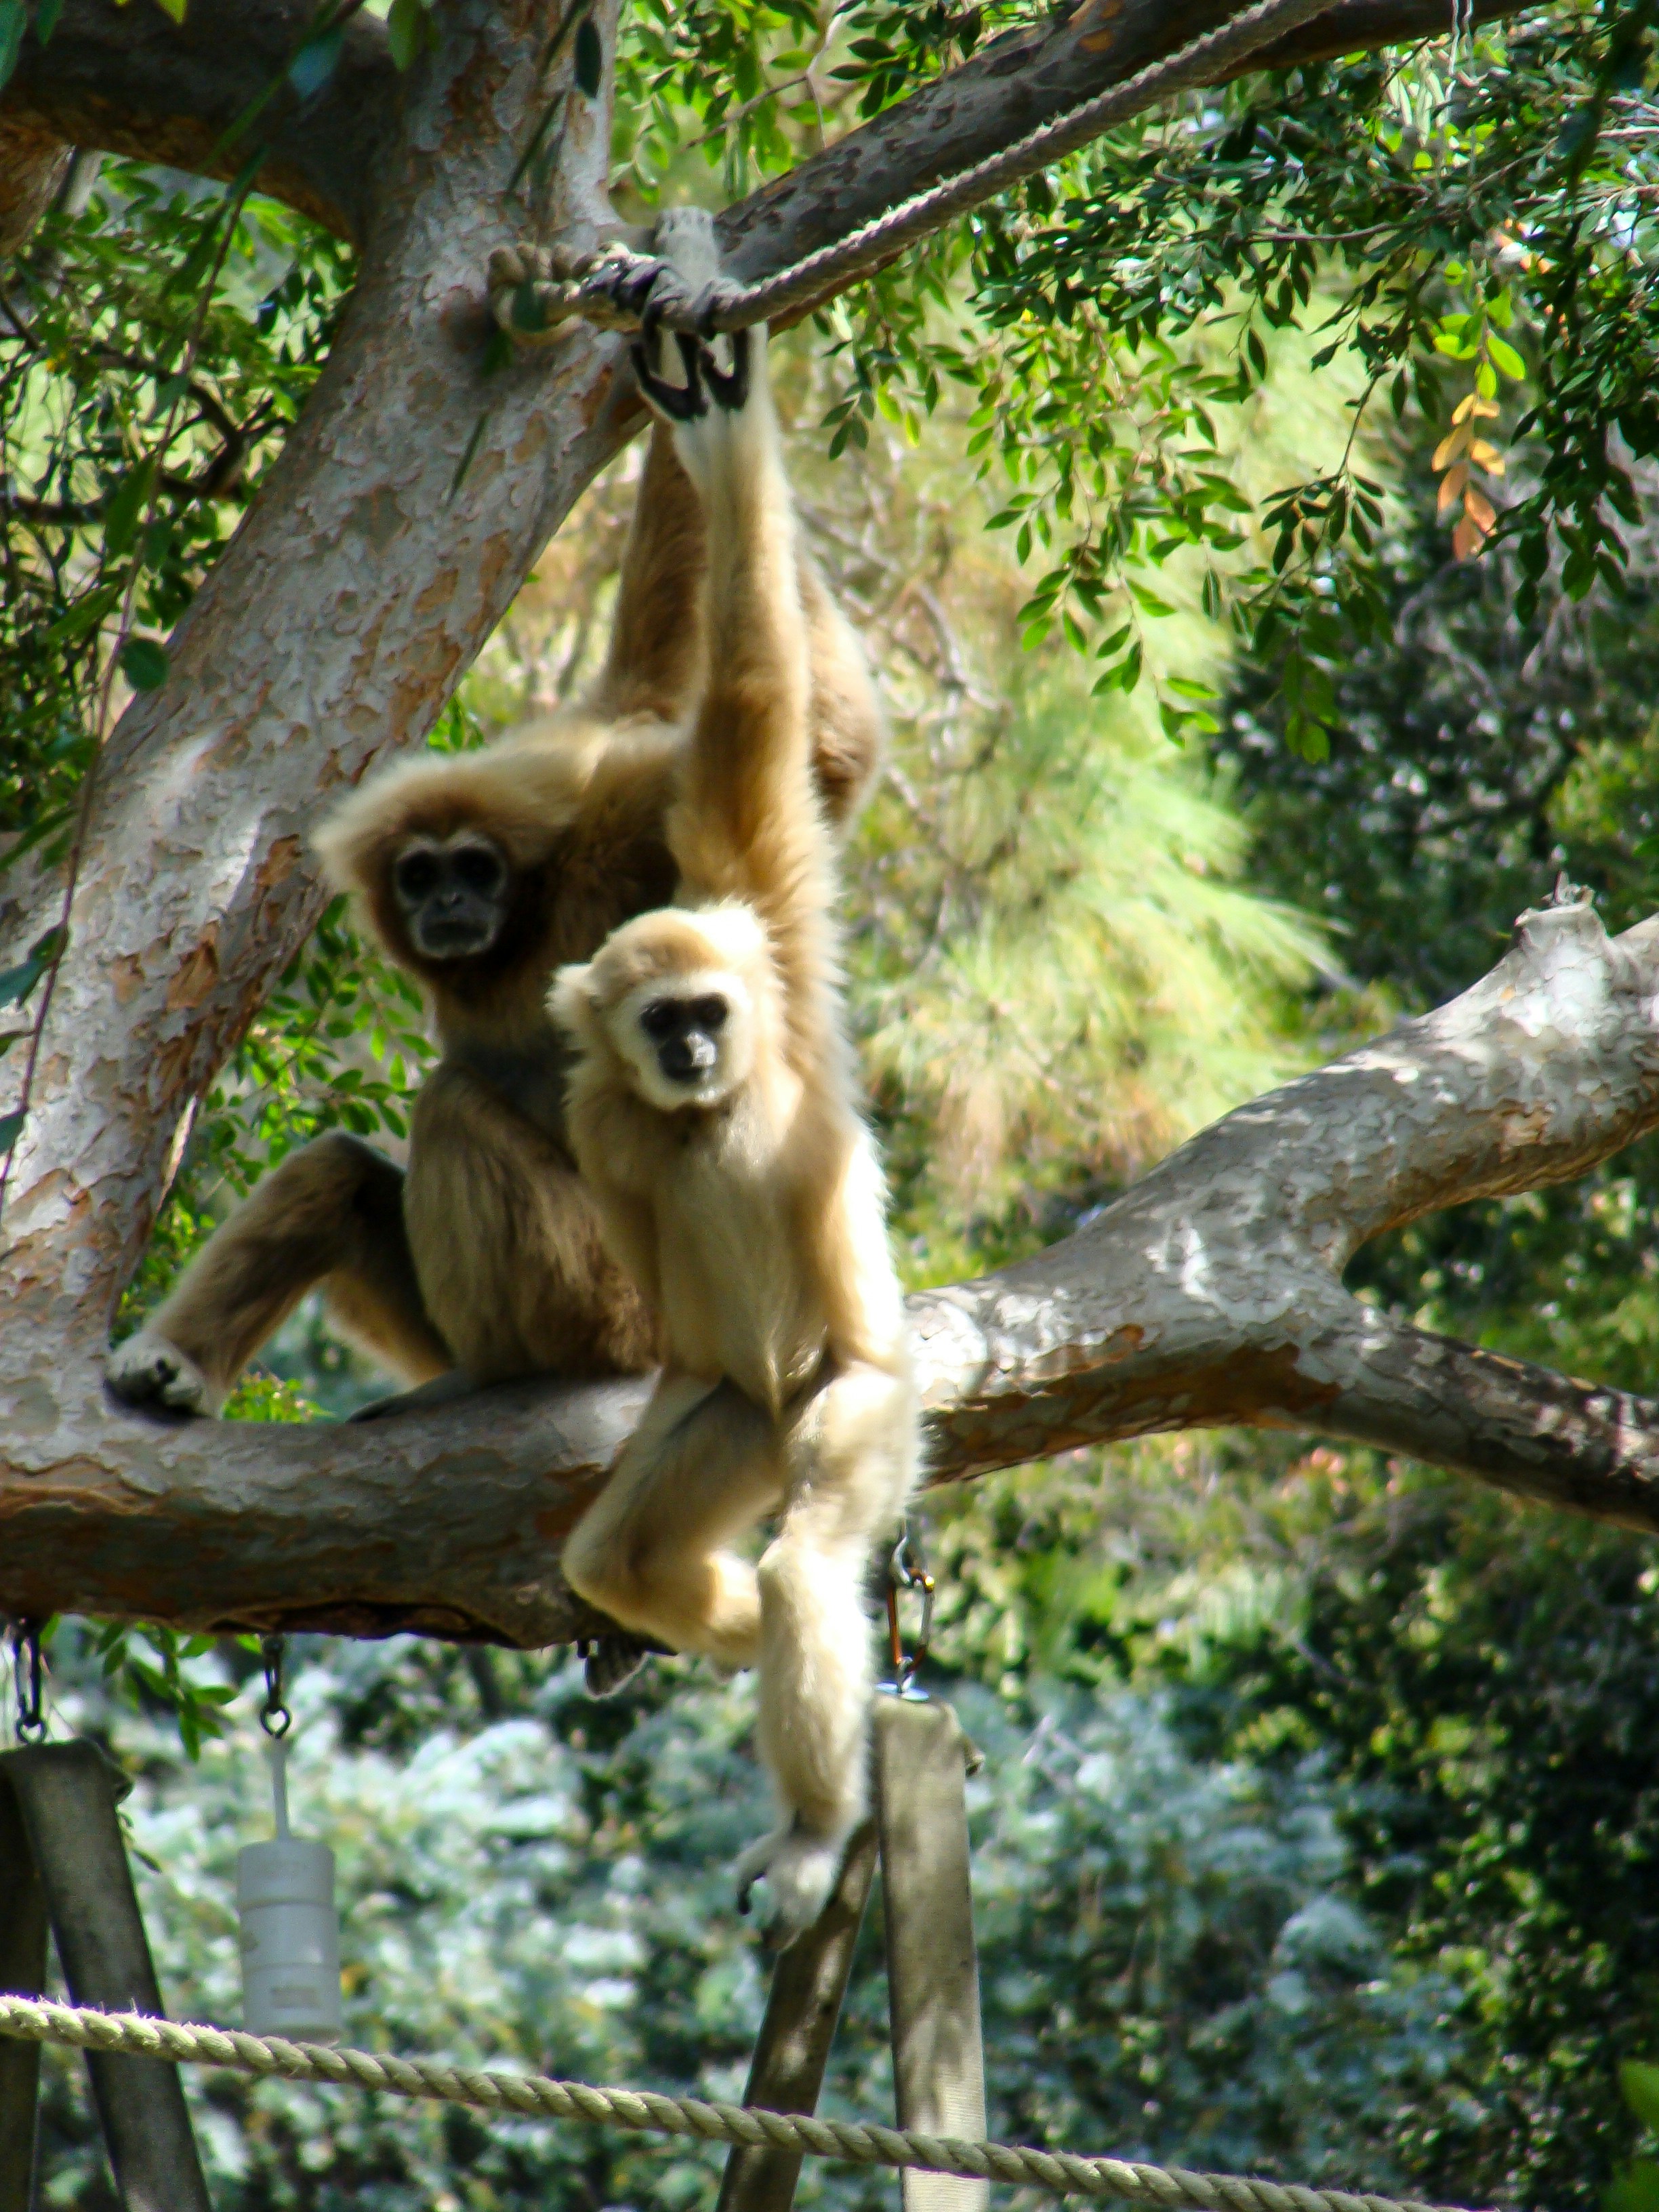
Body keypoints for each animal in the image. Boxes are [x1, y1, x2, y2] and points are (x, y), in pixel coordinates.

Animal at [105, 215, 885, 1435]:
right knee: (336, 1170)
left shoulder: (613, 845)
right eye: (419, 878)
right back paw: (180, 1363)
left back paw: (504, 1368)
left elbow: (819, 760)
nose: (453, 905)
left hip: (620, 1296)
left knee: (454, 1110)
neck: (516, 939)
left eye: (473, 867)